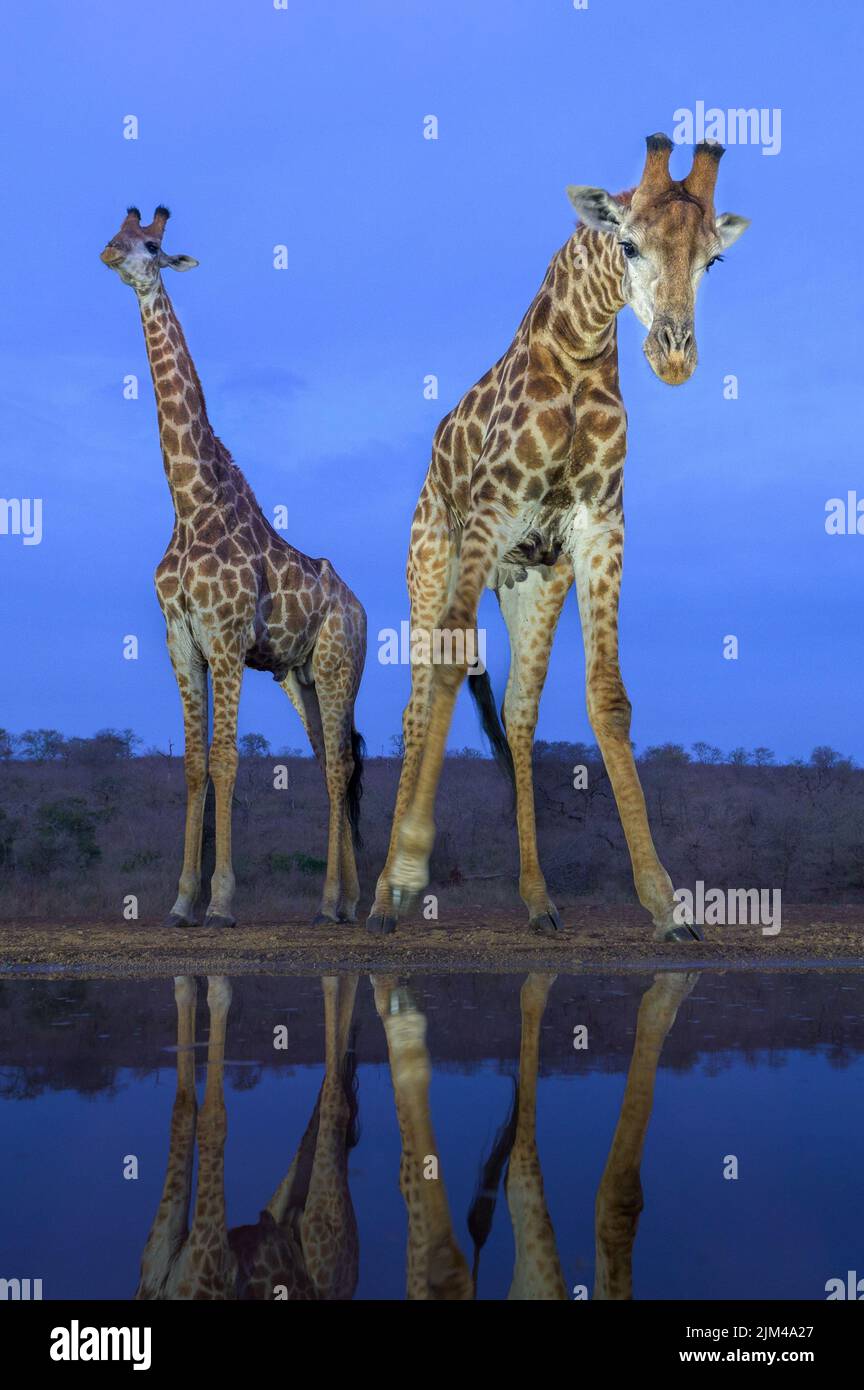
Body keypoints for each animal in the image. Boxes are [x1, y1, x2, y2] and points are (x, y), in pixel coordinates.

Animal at [101, 207, 366, 929]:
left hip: (339, 666)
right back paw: (347, 902)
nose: (109, 254)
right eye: (118, 232)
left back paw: (335, 903)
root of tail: (361, 609)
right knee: (335, 761)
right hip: (298, 676)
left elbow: (225, 759)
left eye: (152, 245)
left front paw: (220, 901)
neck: (191, 503)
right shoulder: (182, 640)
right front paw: (180, 901)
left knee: (339, 765)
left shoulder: (223, 639)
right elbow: (194, 765)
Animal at [136, 973, 360, 1300]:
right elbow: (183, 1109)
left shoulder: (211, 1258)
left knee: (336, 1098)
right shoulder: (161, 1253)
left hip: (321, 1234)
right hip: (284, 1215)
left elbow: (213, 1117)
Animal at [367, 134, 749, 941]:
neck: (576, 356)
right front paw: (411, 872)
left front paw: (666, 903)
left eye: (712, 260)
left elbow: (608, 696)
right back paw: (383, 900)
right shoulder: (490, 513)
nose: (674, 357)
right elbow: (448, 670)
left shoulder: (600, 526)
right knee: (418, 703)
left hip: (534, 584)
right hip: (432, 563)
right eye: (627, 243)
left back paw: (538, 901)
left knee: (517, 713)